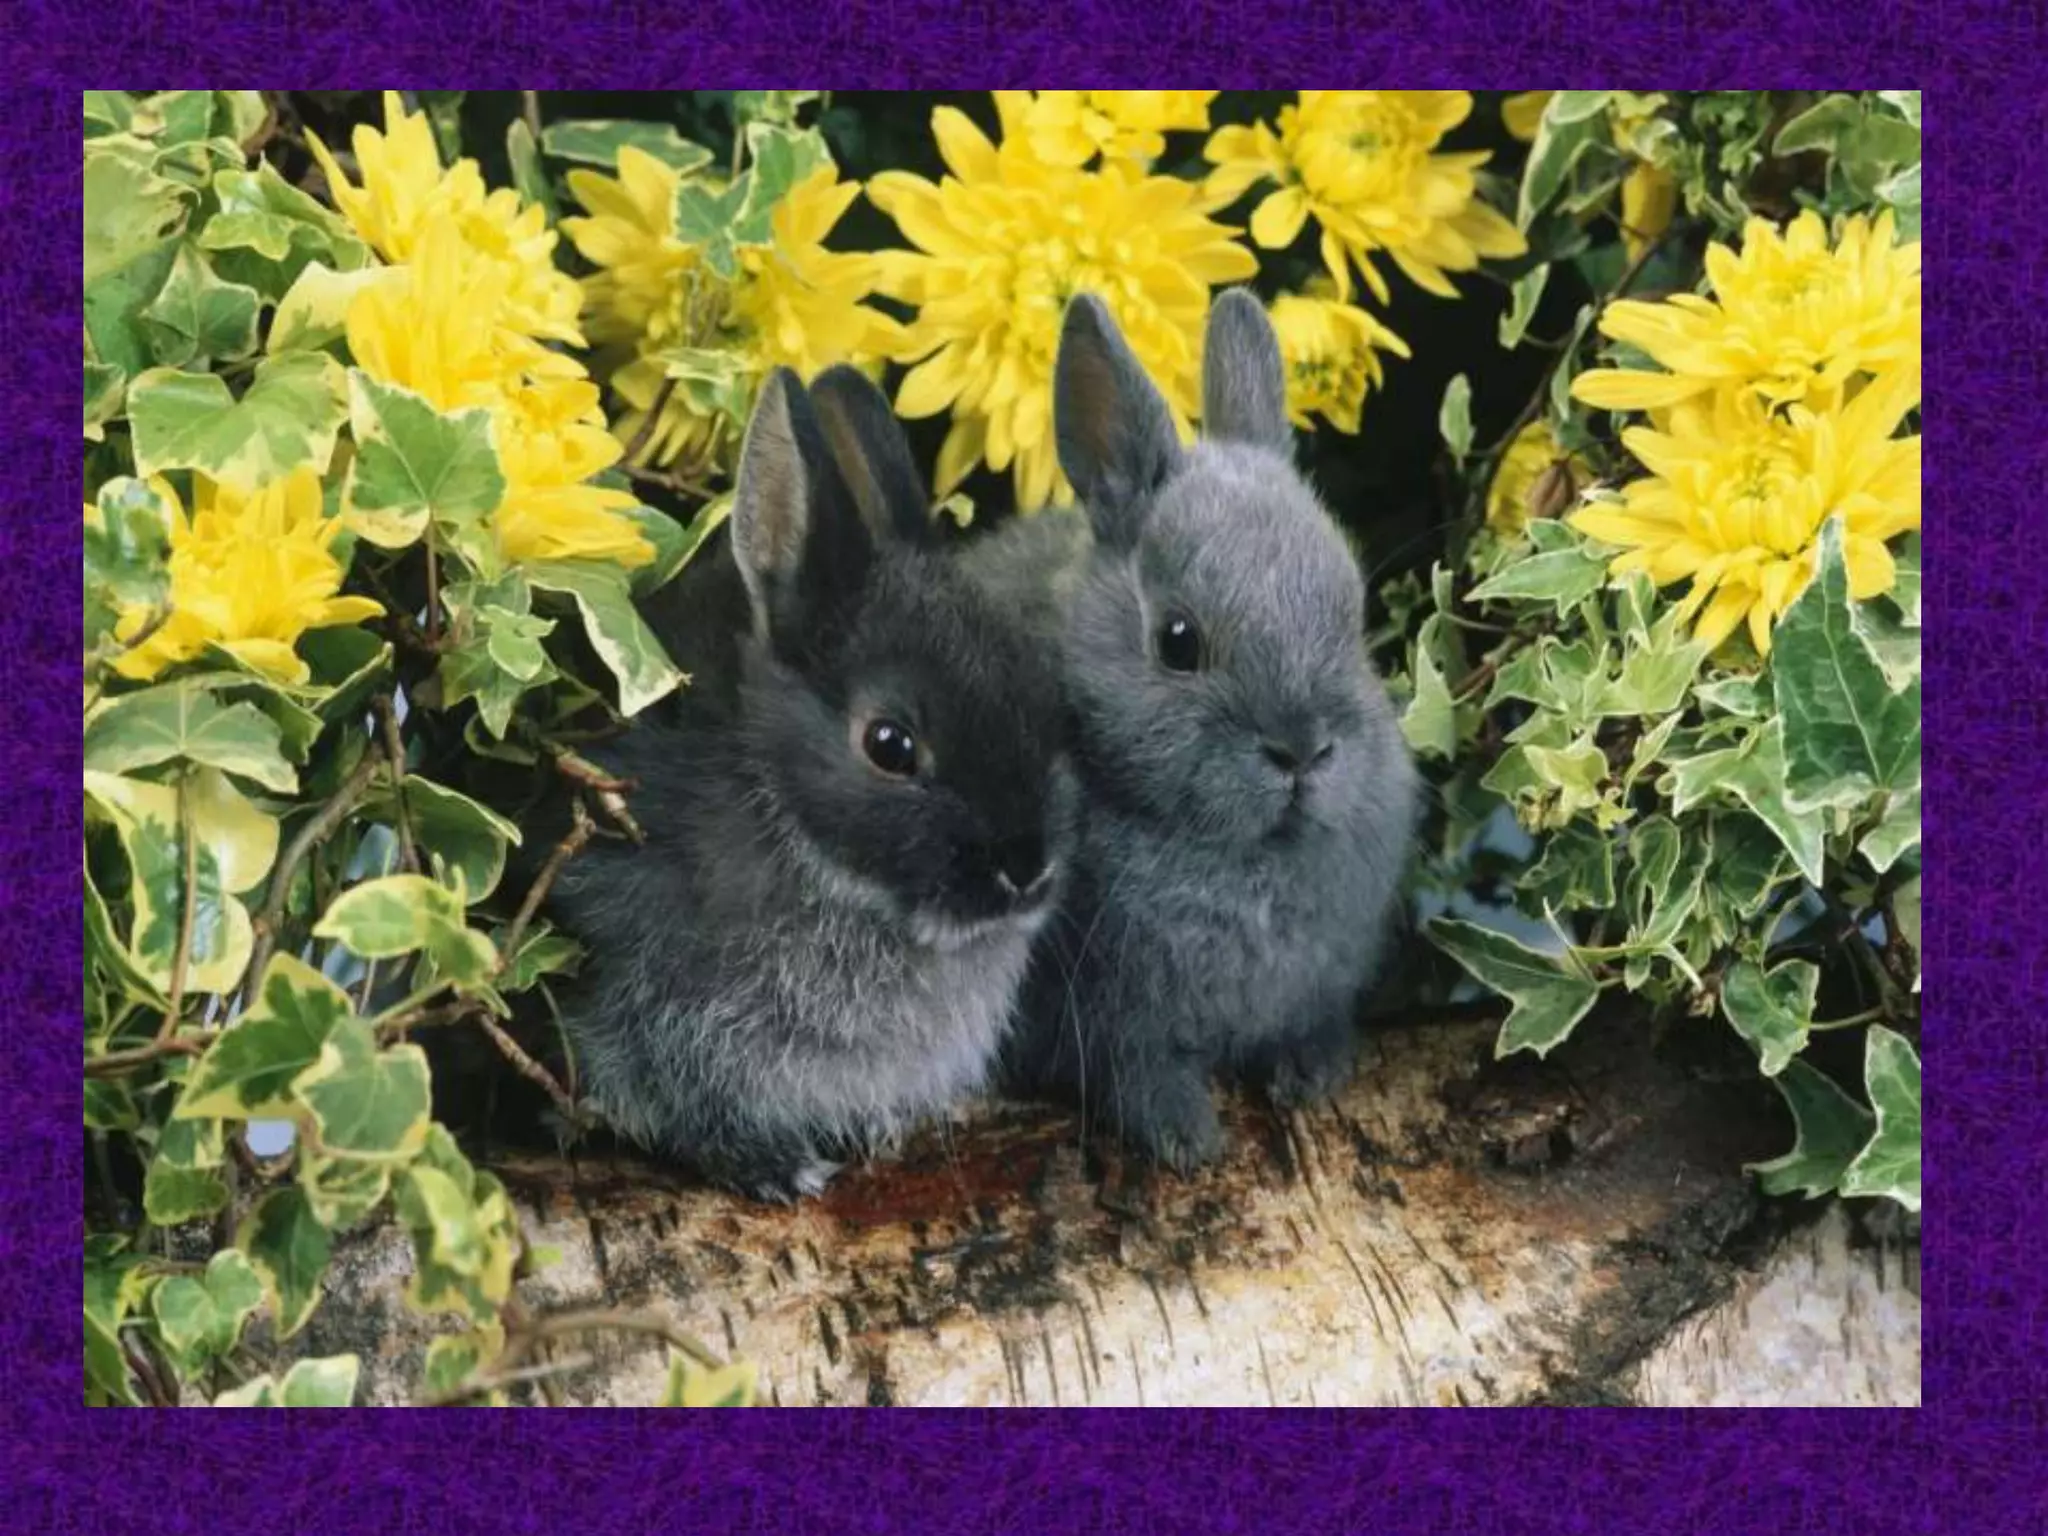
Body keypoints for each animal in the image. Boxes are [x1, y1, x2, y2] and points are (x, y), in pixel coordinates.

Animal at [988, 291, 1420, 1172]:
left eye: (1352, 610)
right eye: (1178, 642)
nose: (1303, 750)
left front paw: (1312, 1077)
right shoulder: (1103, 1025)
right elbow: (1136, 1074)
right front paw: (1188, 1139)